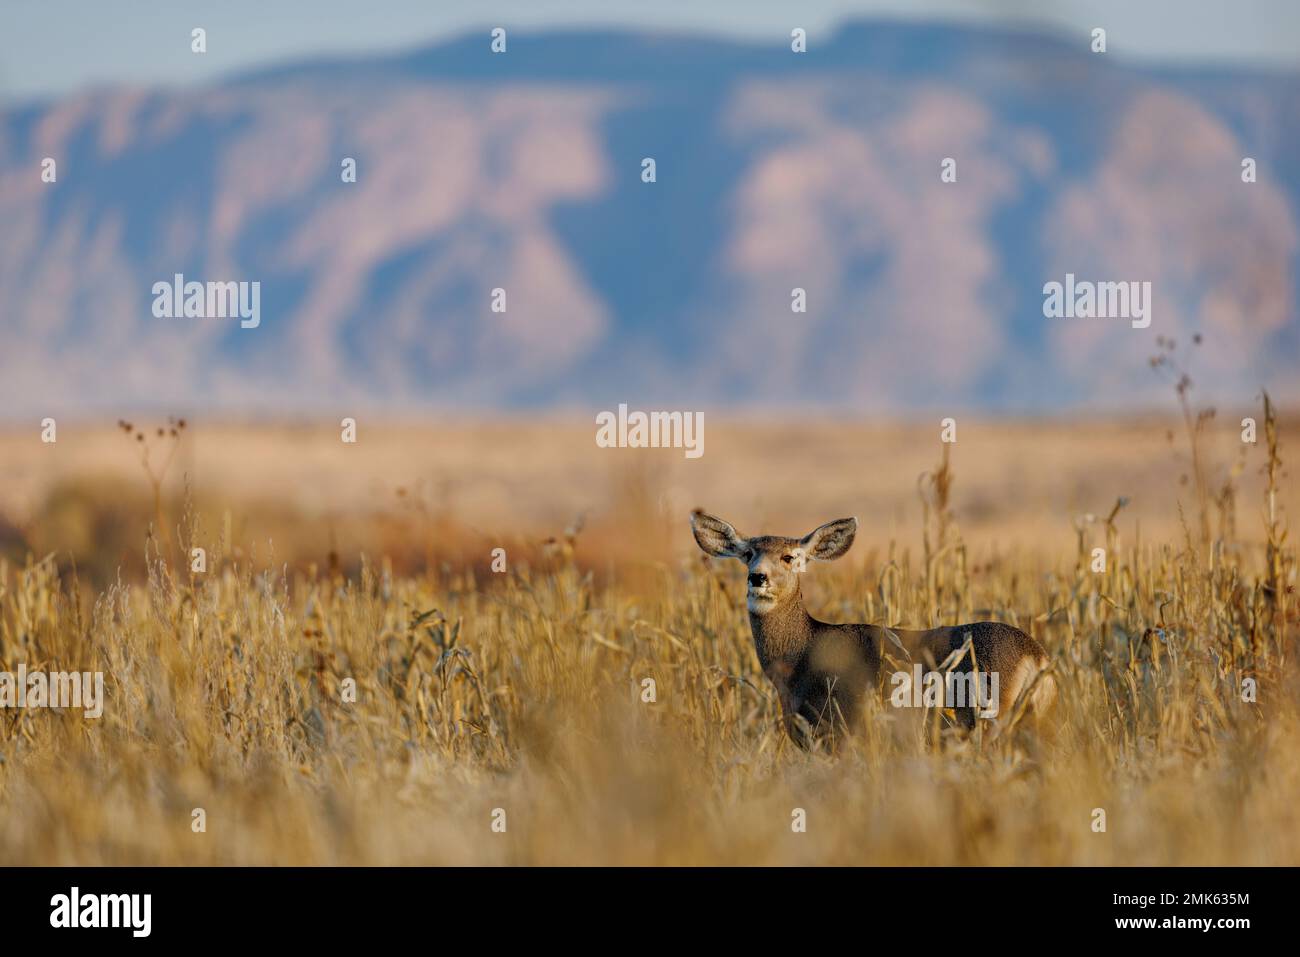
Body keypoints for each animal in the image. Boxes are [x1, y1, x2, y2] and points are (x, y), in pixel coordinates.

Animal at [690, 510, 1055, 748]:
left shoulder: (837, 733)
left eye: (789, 557)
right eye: (748, 553)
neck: (798, 658)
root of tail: (1036, 657)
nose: (757, 577)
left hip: (990, 715)